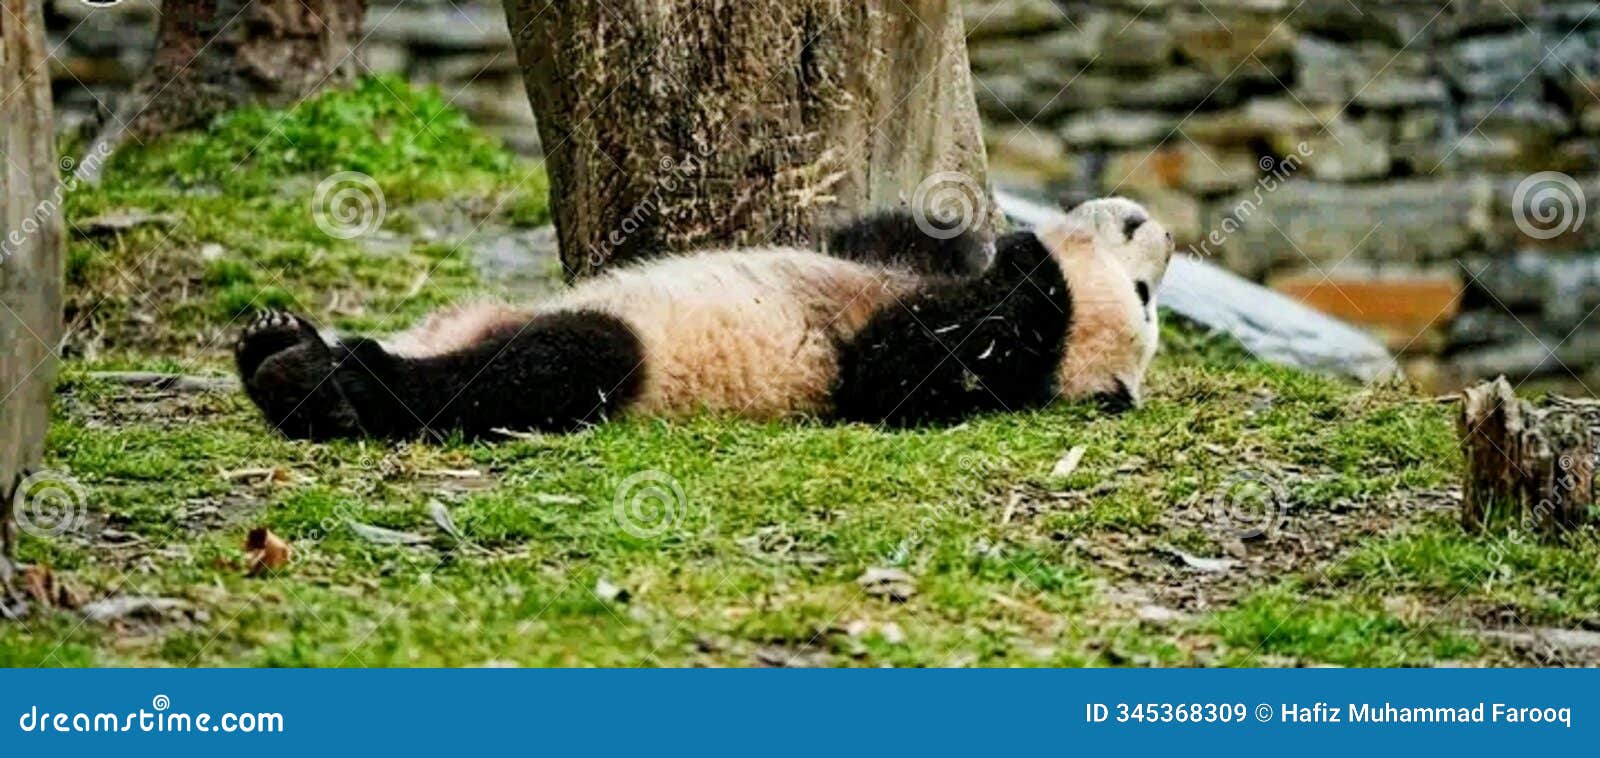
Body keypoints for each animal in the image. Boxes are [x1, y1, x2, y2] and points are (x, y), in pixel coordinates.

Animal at [233, 197, 1174, 440]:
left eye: (1144, 298)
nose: (1150, 223)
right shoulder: (894, 269)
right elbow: (884, 238)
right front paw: (987, 230)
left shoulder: (891, 374)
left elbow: (902, 373)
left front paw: (1033, 272)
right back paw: (276, 339)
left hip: (613, 365)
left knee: (549, 366)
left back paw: (327, 380)